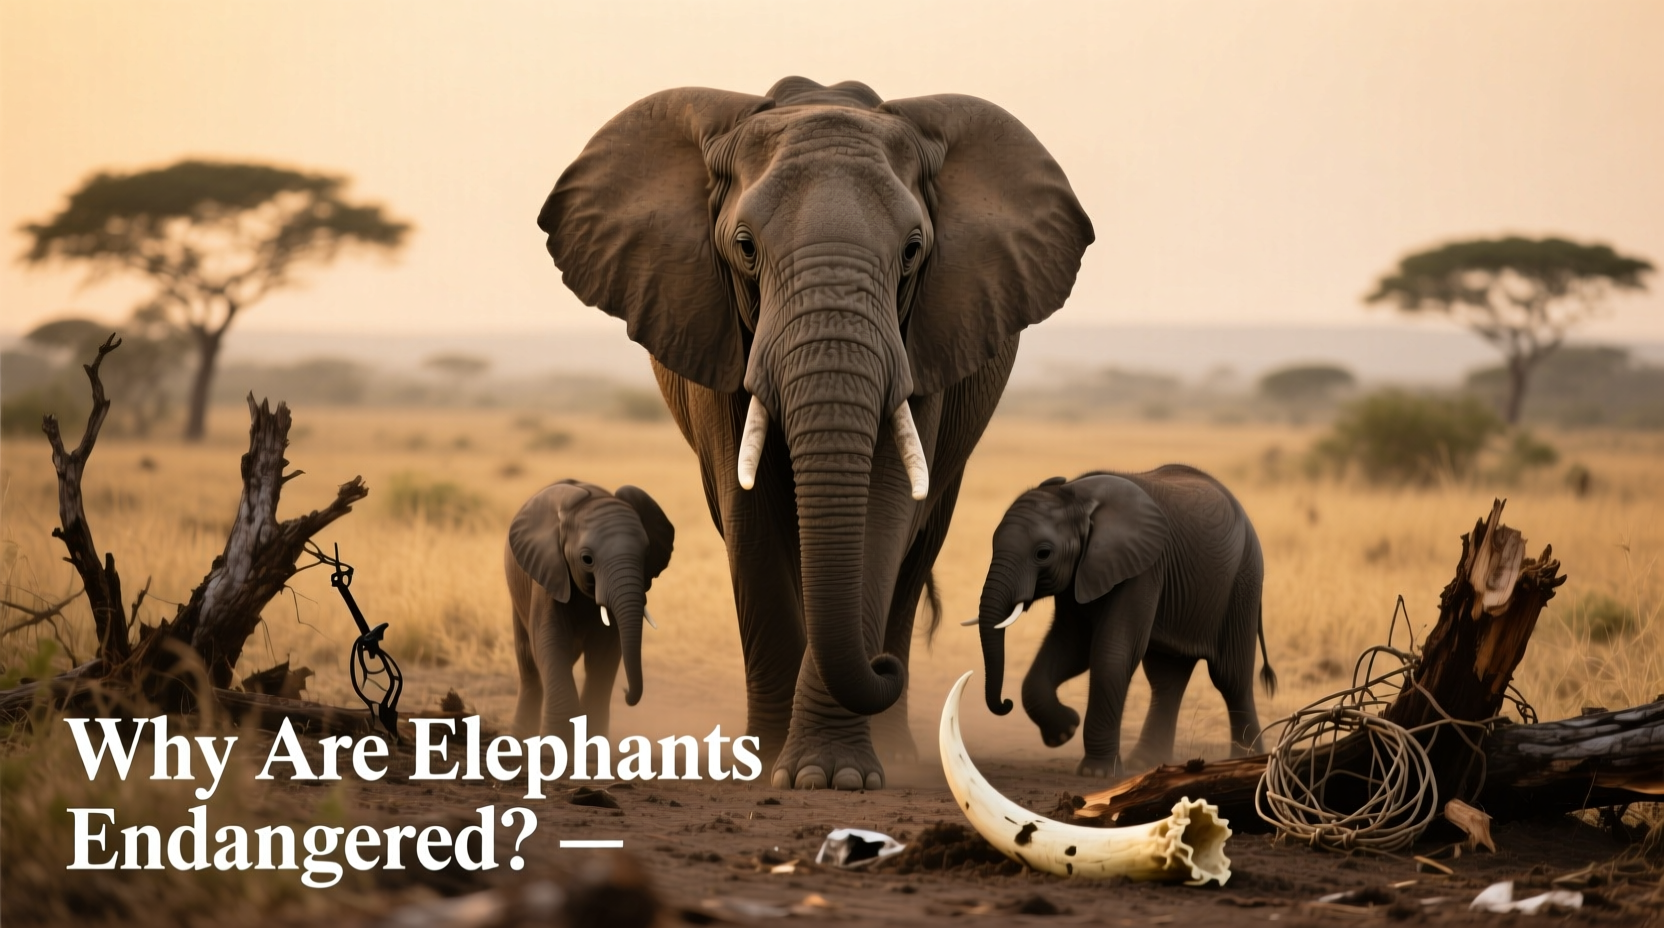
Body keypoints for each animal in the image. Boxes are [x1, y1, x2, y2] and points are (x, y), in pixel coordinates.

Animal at [504, 480, 675, 742]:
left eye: (646, 553)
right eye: (587, 559)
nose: (626, 692)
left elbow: (605, 653)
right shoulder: (548, 575)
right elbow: (549, 641)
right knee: (528, 662)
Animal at [538, 77, 1093, 789]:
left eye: (913, 250)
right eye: (745, 246)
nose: (882, 669)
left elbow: (883, 512)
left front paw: (834, 776)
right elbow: (748, 515)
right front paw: (769, 763)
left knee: (916, 548)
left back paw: (898, 750)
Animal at [970, 466, 1277, 778]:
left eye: (1043, 553)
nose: (1004, 703)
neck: (1078, 496)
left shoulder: (1143, 568)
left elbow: (1110, 654)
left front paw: (1096, 773)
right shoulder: (1080, 576)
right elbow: (1070, 647)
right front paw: (1065, 729)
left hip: (1243, 581)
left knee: (1232, 679)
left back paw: (1244, 760)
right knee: (1167, 678)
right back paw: (1146, 763)